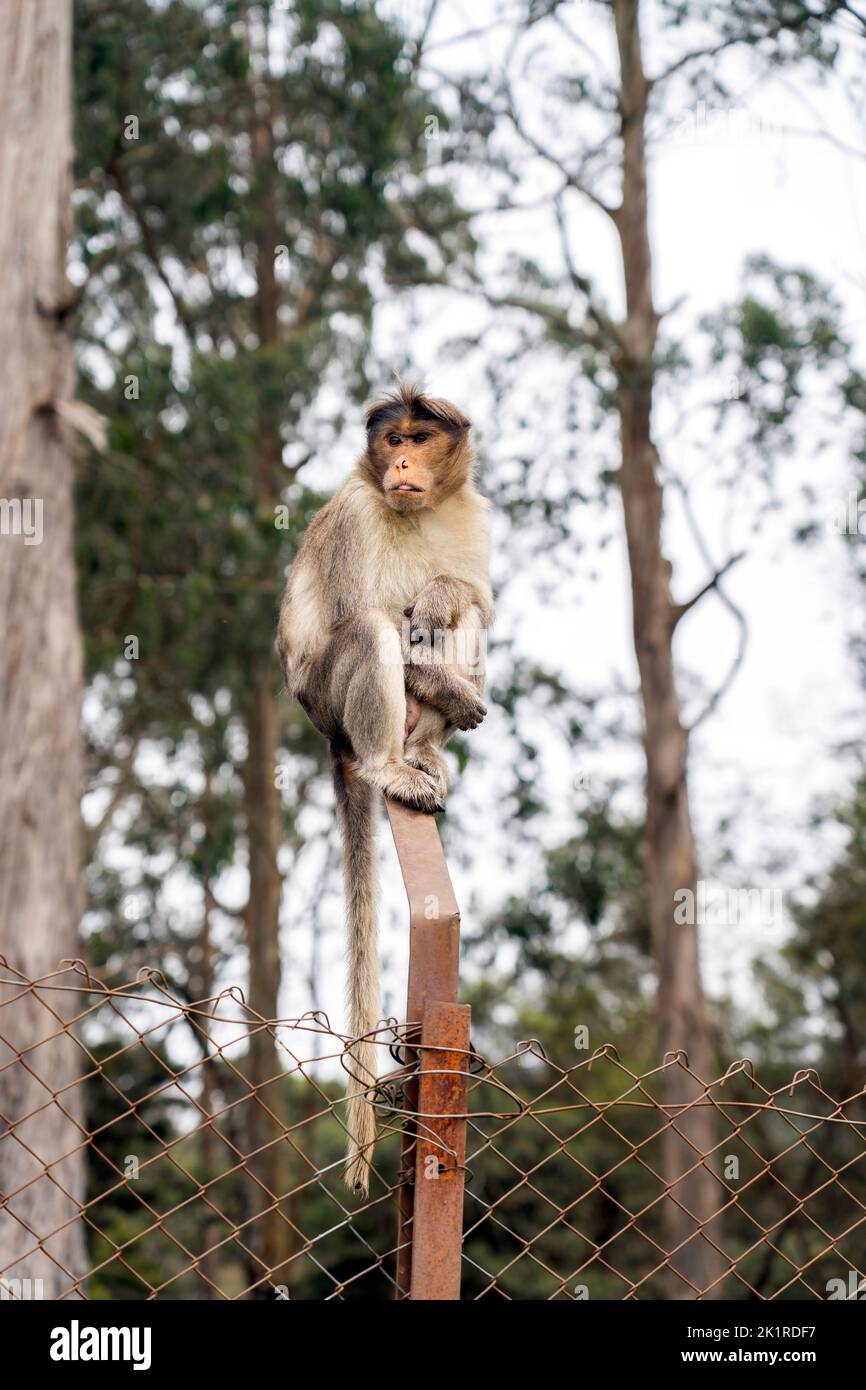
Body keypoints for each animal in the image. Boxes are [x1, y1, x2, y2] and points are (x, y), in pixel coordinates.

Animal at [276, 383, 493, 1195]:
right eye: (392, 438)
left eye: (420, 438)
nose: (400, 462)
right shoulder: (354, 515)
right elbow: (357, 617)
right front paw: (436, 677)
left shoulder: (470, 513)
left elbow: (473, 597)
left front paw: (444, 614)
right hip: (328, 697)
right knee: (369, 626)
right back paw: (385, 764)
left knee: (453, 612)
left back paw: (426, 750)